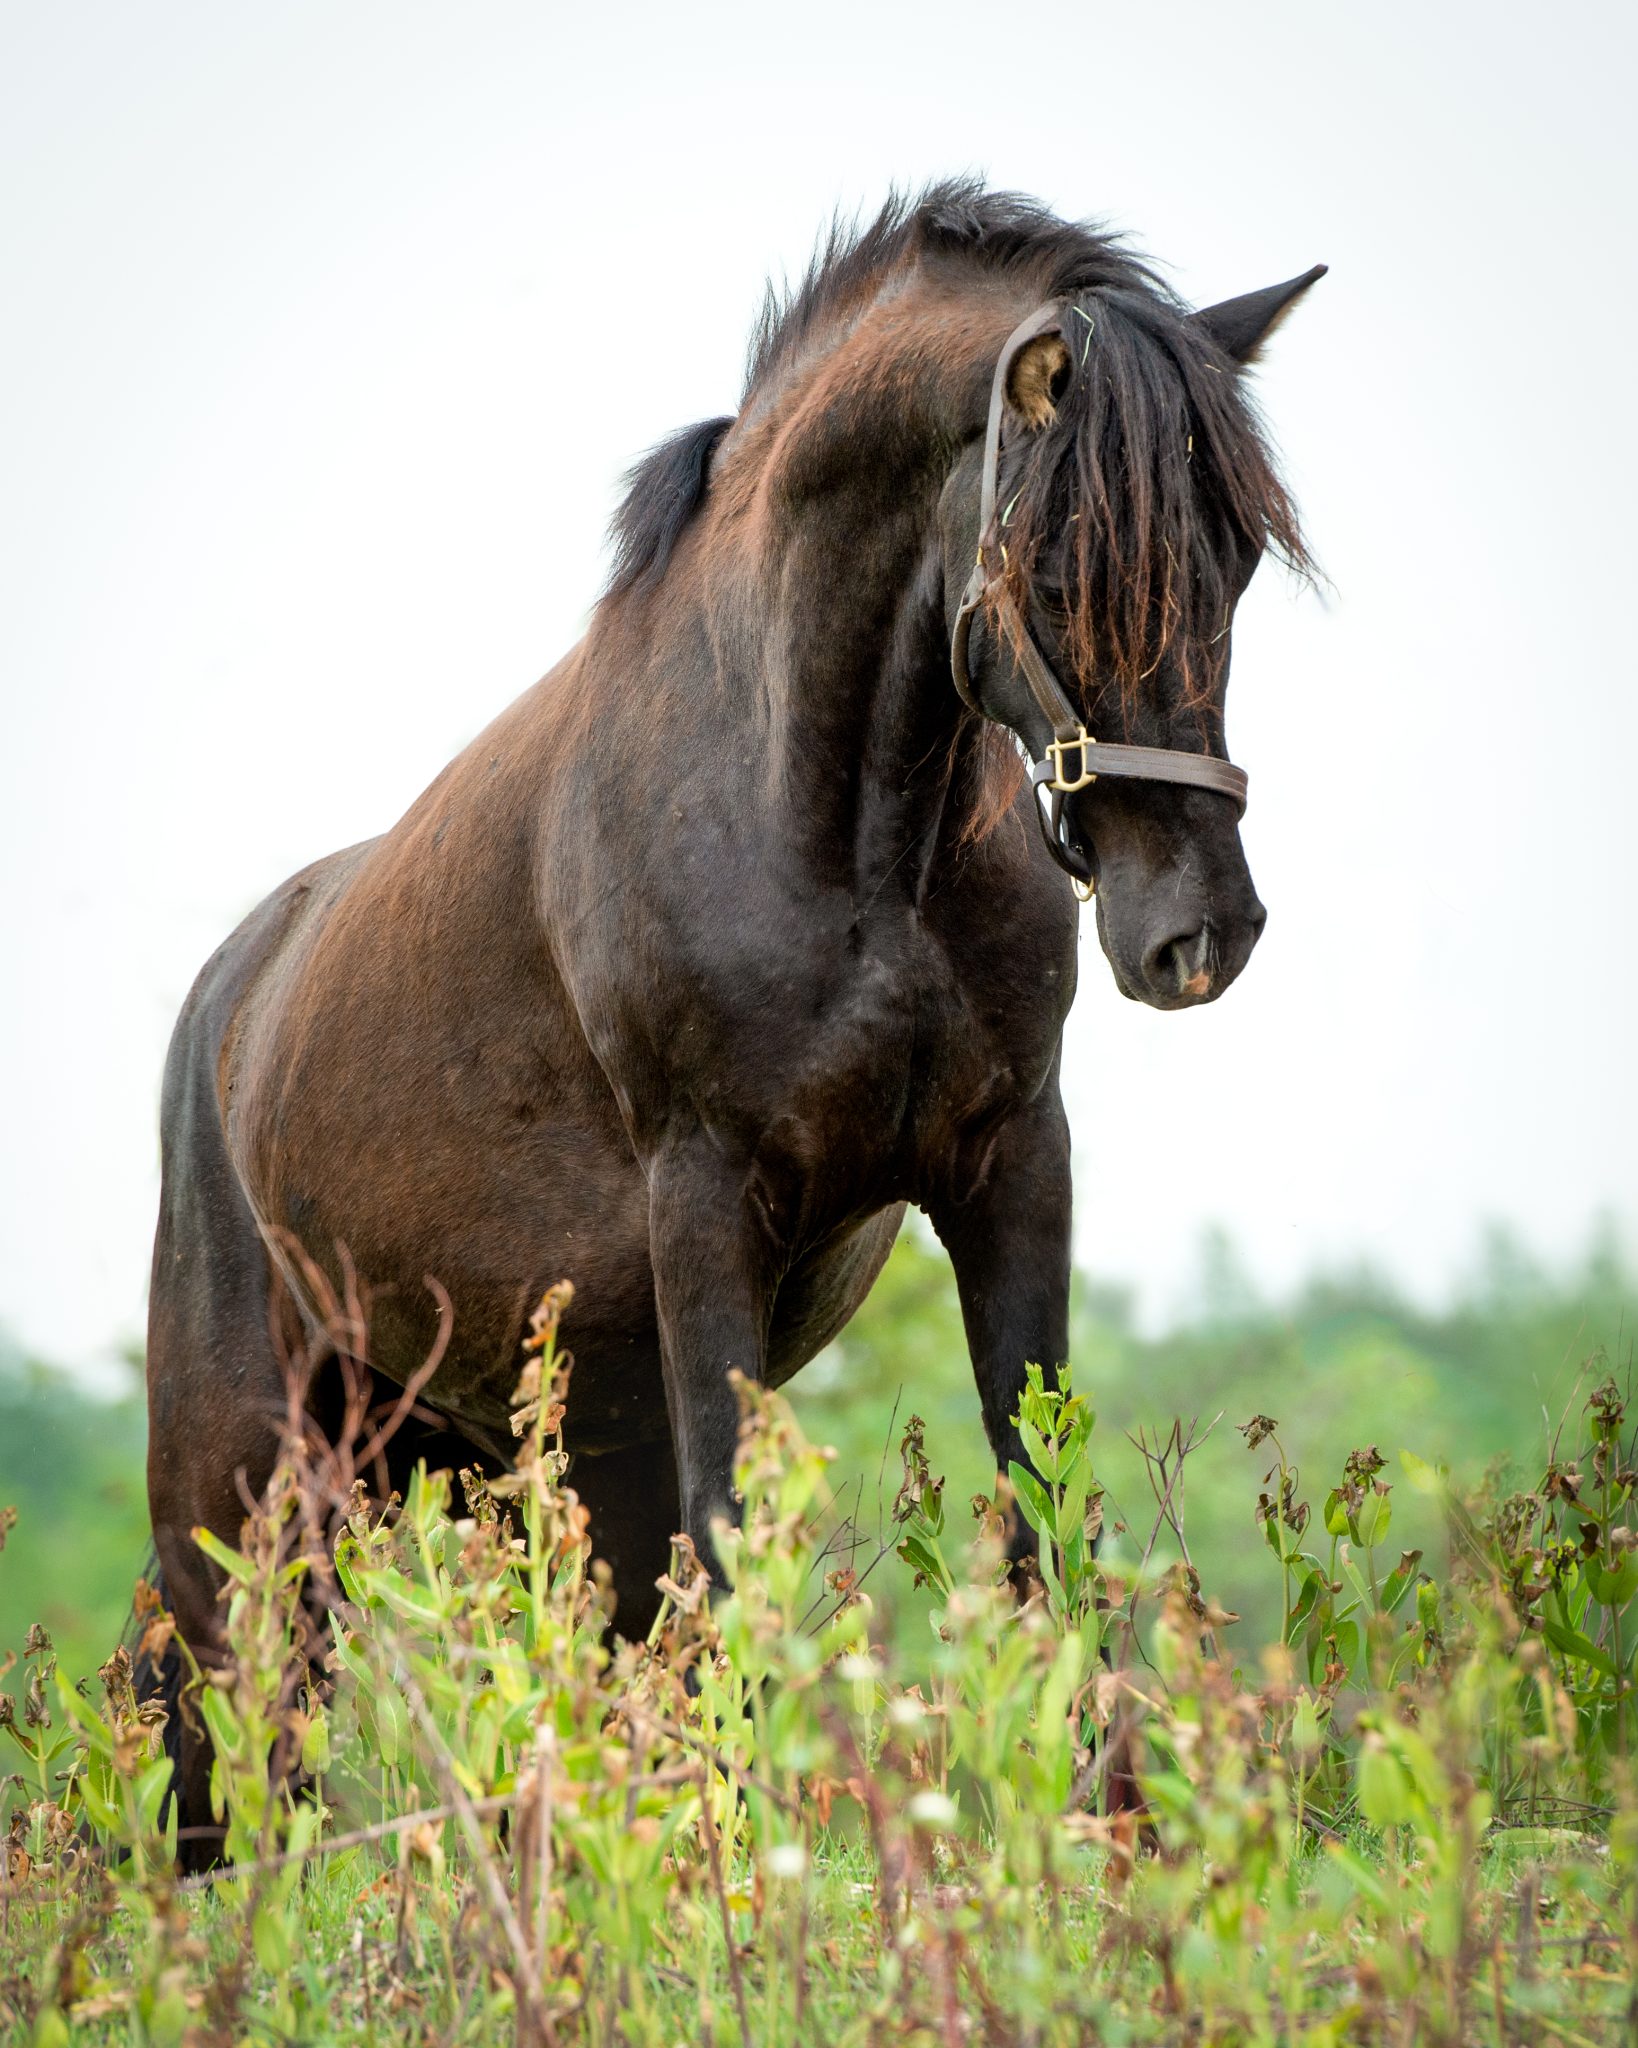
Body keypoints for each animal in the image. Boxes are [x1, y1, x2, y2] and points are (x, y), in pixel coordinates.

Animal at [144, 181, 1321, 1859]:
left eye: (1229, 567)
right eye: (1056, 571)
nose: (1197, 931)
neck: (838, 841)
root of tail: (233, 1006)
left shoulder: (1011, 1171)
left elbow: (1044, 1521)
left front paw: (1111, 1852)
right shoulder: (705, 1204)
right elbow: (735, 1554)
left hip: (509, 1456)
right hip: (242, 1475)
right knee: (234, 1738)